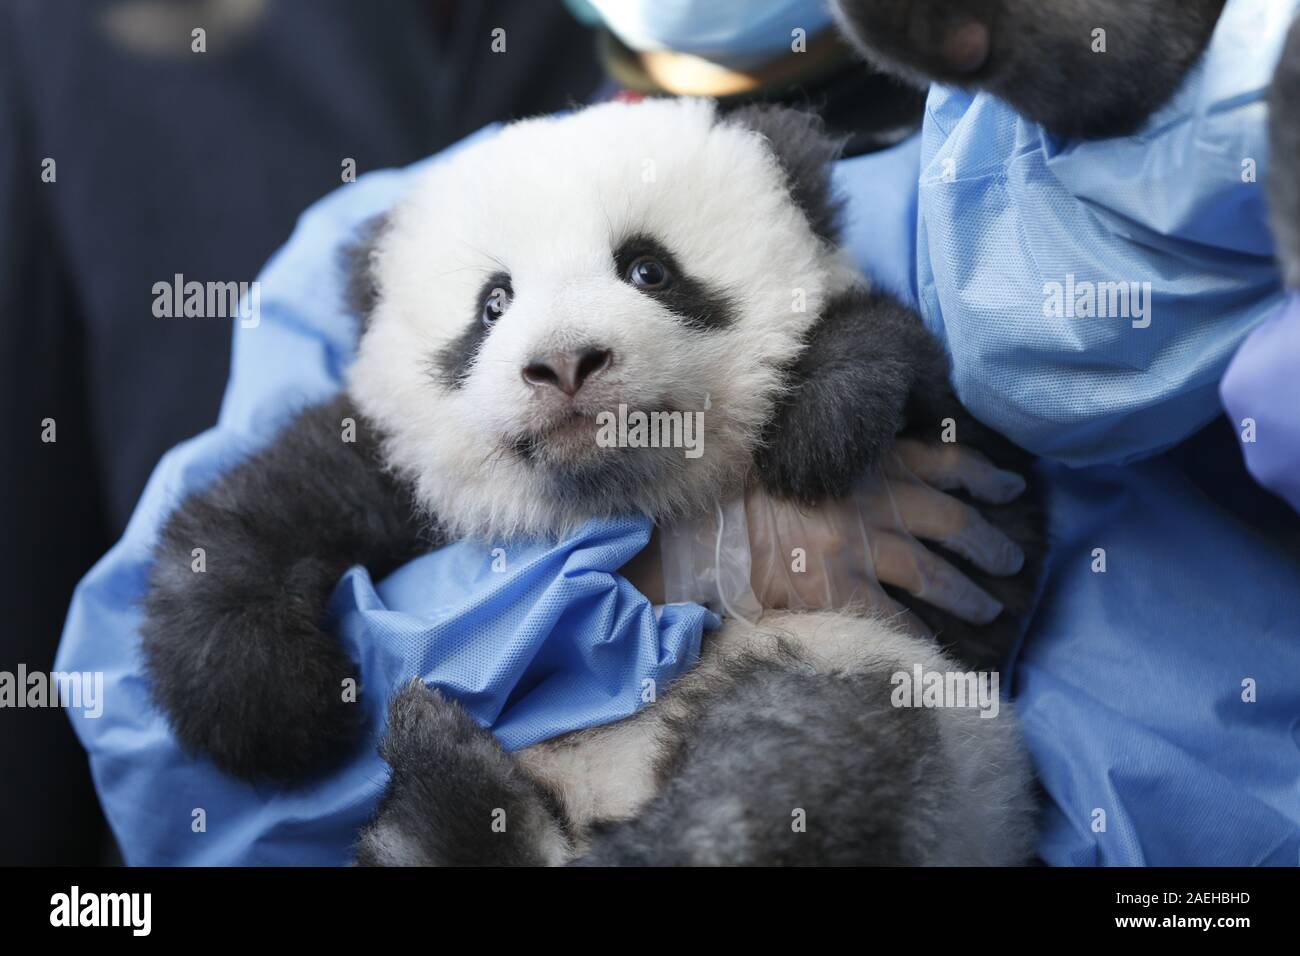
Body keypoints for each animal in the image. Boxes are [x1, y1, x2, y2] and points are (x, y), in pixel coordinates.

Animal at [141, 97, 1044, 865]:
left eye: (648, 269)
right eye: (493, 304)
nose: (566, 362)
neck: (610, 495)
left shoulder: (945, 567)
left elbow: (990, 521)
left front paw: (823, 415)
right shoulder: (397, 471)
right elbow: (263, 510)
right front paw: (279, 702)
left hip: (870, 681)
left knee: (788, 767)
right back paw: (439, 773)